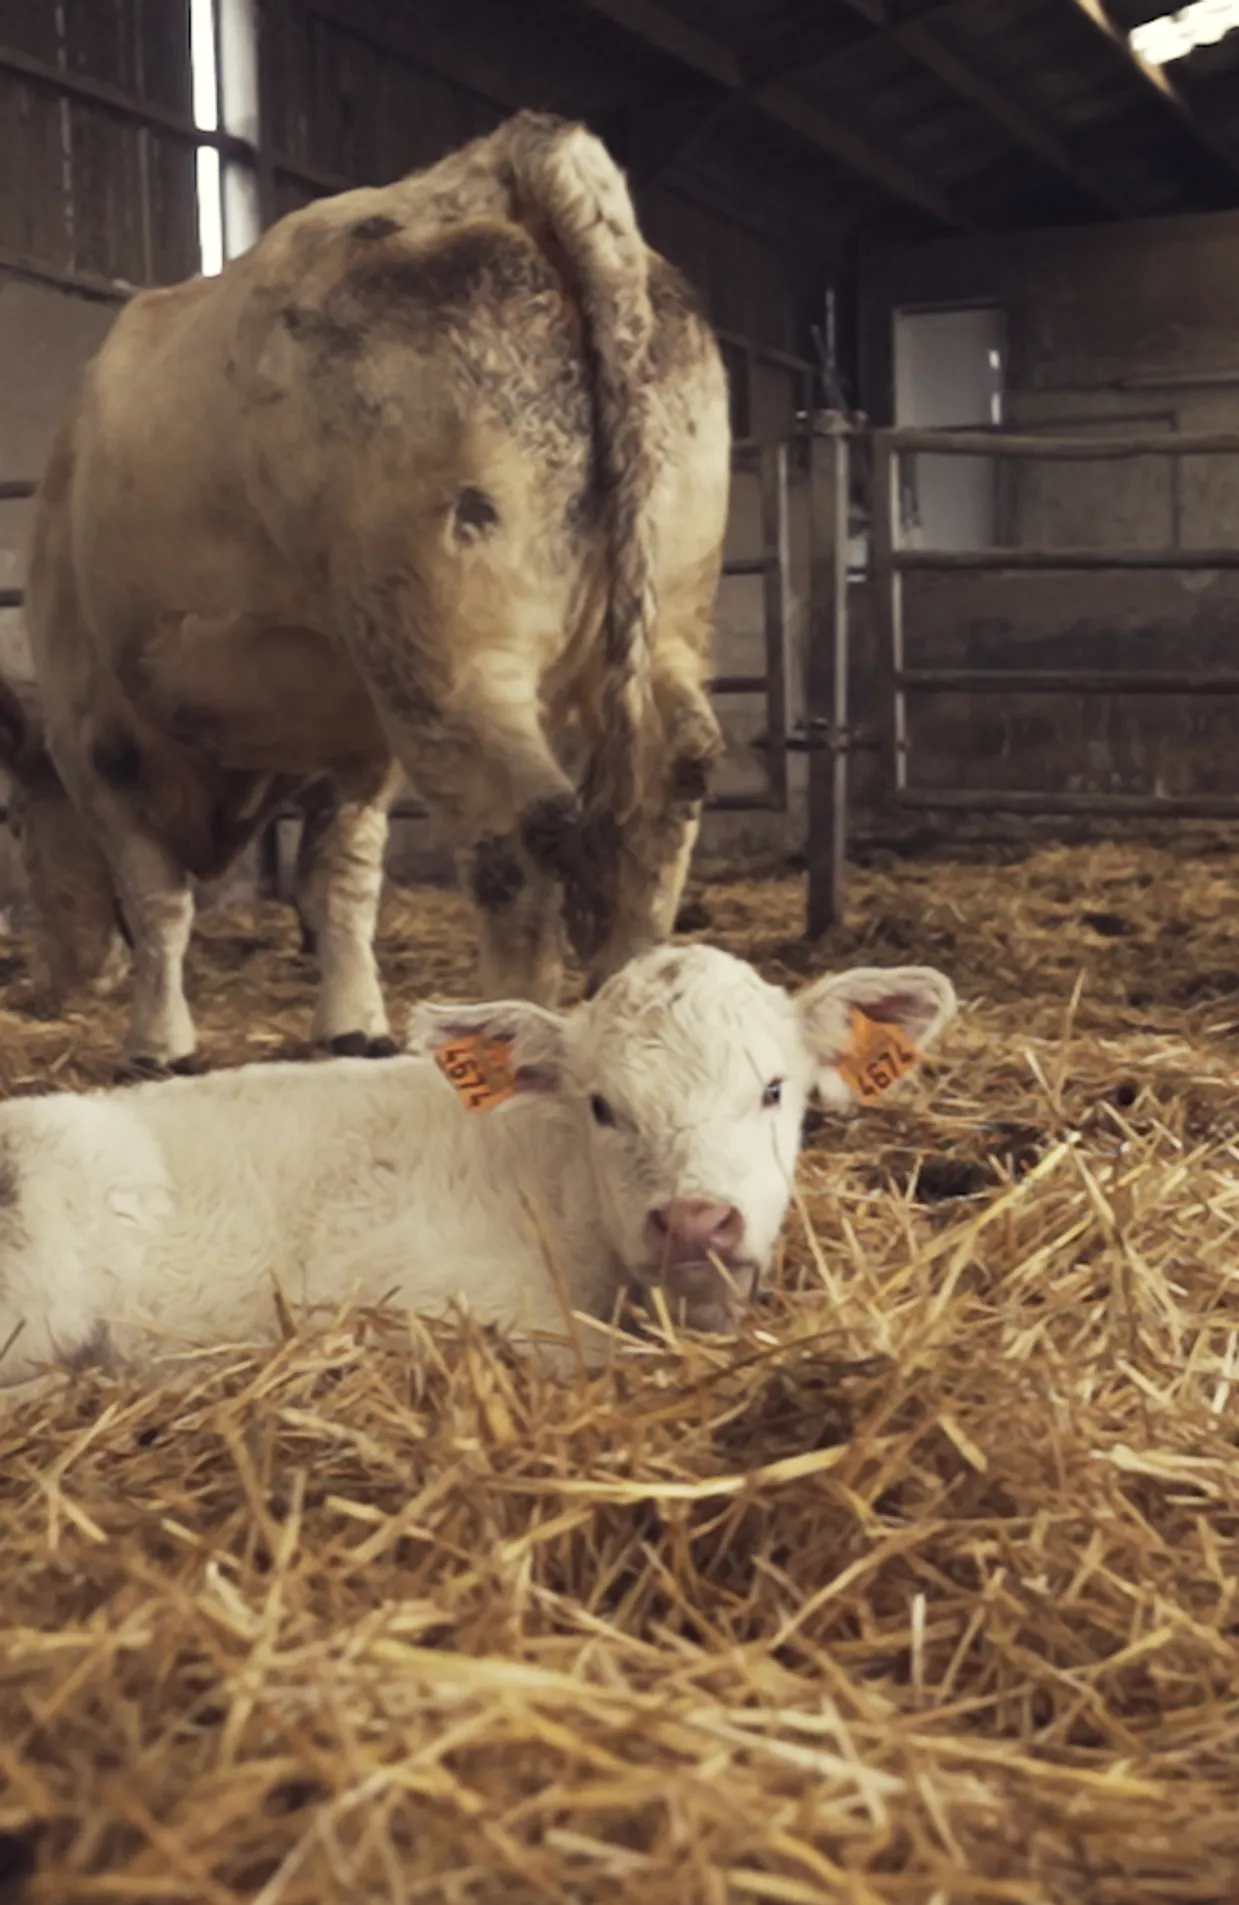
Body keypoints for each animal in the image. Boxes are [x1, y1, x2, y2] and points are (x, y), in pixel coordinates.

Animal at [22, 110, 731, 1073]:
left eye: (19, 835)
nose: (63, 980)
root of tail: (496, 162)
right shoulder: (353, 737)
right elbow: (341, 884)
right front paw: (352, 1023)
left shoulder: (93, 722)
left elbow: (157, 893)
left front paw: (158, 1041)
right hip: (662, 619)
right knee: (666, 790)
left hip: (442, 651)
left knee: (519, 834)